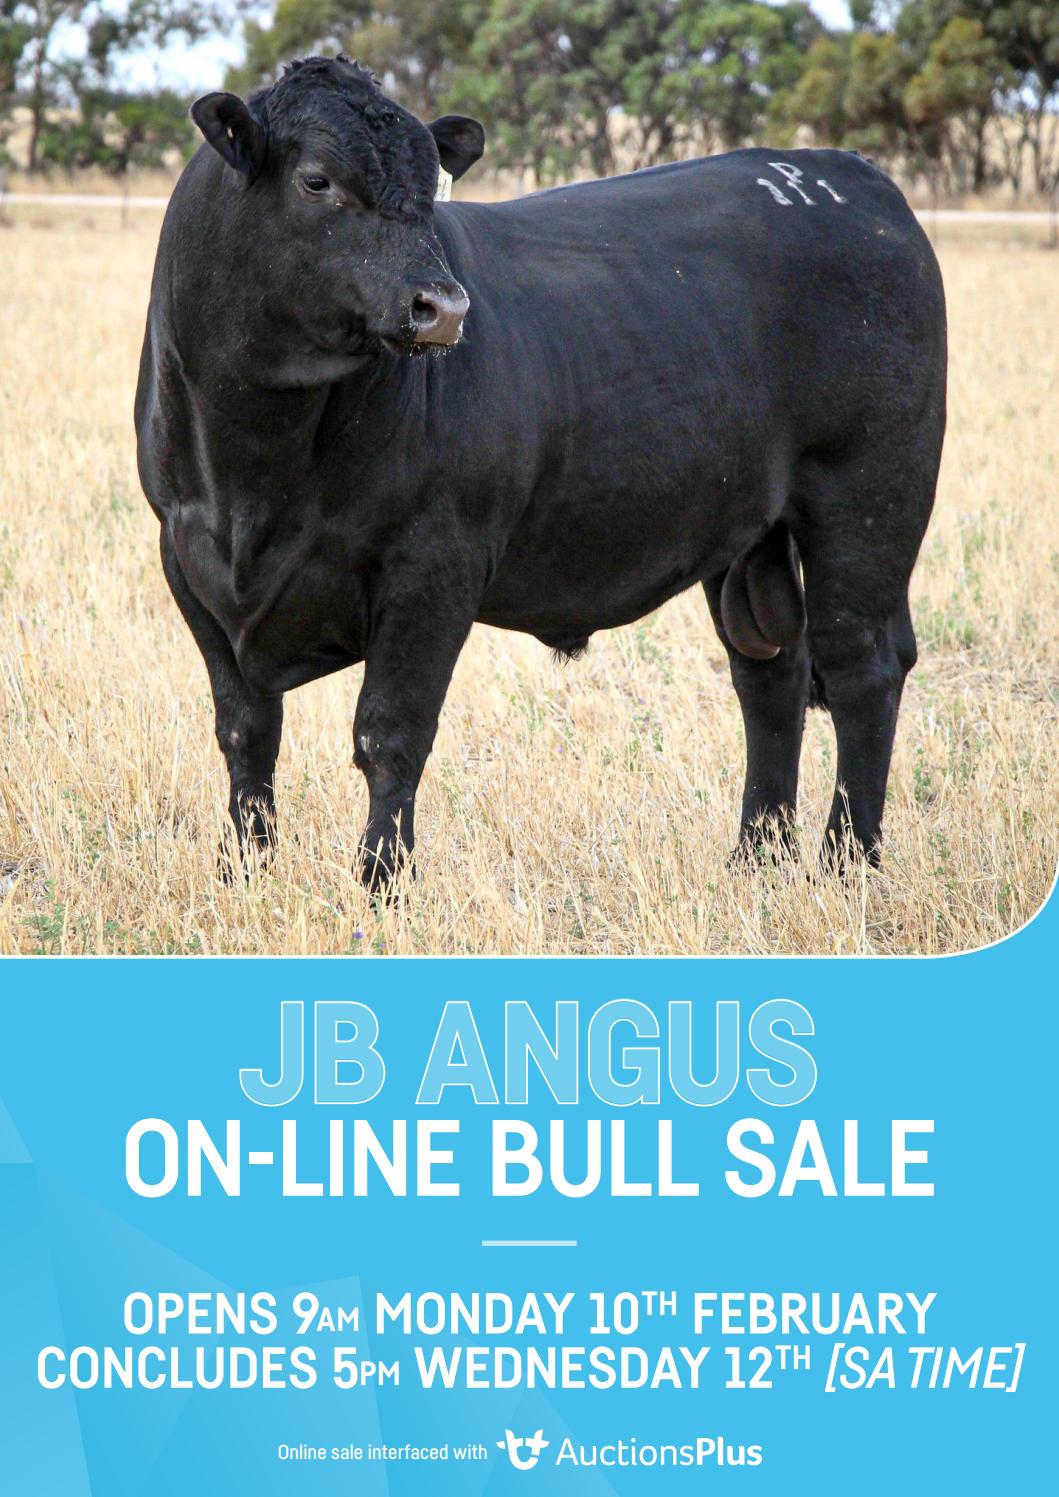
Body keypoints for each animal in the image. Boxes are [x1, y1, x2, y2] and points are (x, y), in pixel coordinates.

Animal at [135, 55, 946, 892]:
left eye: (430, 188)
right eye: (316, 180)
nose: (443, 307)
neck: (252, 472)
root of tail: (847, 175)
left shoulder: (434, 567)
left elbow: (389, 734)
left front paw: (381, 882)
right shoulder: (185, 559)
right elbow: (246, 732)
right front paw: (240, 871)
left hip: (868, 502)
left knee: (861, 667)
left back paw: (847, 862)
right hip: (751, 535)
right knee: (770, 676)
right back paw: (755, 856)